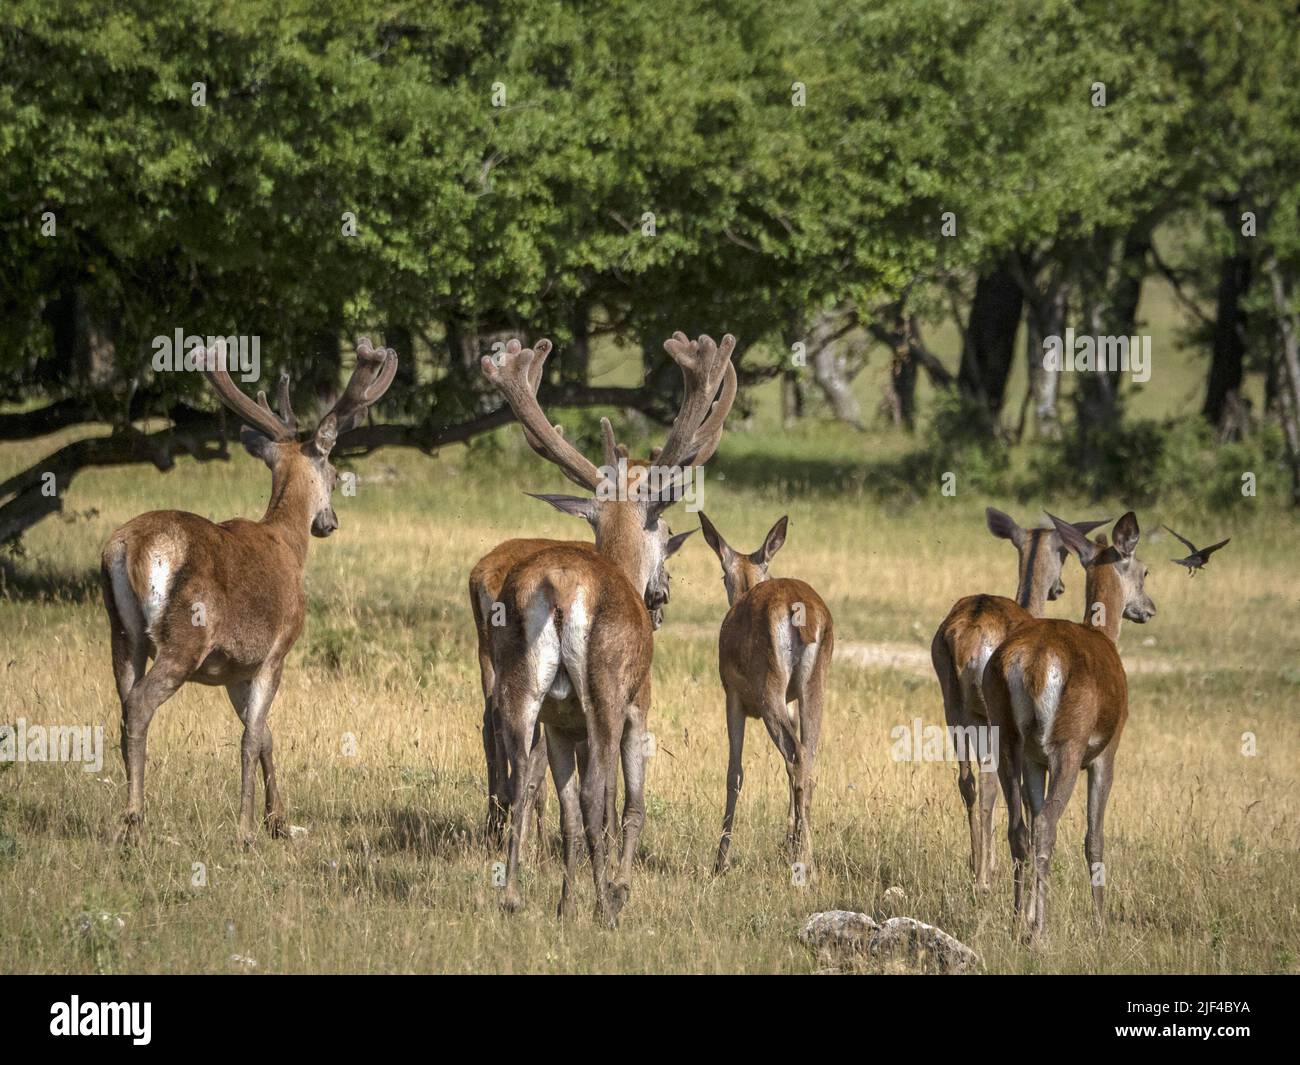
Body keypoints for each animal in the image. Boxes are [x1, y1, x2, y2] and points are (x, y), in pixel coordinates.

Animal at [100, 337, 397, 845]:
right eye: (335, 474)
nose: (329, 522)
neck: (288, 544)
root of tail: (130, 548)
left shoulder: (236, 668)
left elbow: (266, 735)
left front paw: (278, 819)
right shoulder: (277, 649)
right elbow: (252, 736)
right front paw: (246, 828)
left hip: (121, 632)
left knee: (122, 703)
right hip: (185, 635)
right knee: (139, 704)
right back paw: (134, 818)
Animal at [481, 331, 735, 924]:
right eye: (664, 531)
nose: (661, 592)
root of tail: (557, 587)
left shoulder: (562, 723)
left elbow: (567, 810)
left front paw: (564, 900)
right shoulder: (640, 702)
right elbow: (631, 803)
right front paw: (619, 886)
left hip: (523, 690)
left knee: (521, 781)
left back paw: (513, 895)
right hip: (605, 687)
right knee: (597, 792)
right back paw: (604, 906)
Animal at [697, 512, 833, 876]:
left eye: (722, 574)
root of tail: (801, 613)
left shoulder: (731, 694)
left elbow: (734, 772)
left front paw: (720, 861)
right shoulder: (790, 701)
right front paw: (788, 840)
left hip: (768, 686)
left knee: (796, 754)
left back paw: (804, 861)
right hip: (813, 685)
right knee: (807, 757)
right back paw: (805, 855)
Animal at [930, 507, 1108, 889]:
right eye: (1064, 551)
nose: (1058, 587)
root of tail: (965, 633)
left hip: (952, 705)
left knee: (966, 780)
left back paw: (978, 865)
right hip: (991, 715)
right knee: (987, 781)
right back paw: (984, 878)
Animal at [982, 512, 1156, 941]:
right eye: (1145, 570)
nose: (1149, 608)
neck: (1104, 635)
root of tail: (1028, 662)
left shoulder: (1035, 759)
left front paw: (1028, 915)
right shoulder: (1106, 751)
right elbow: (1094, 838)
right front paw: (1100, 928)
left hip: (1008, 737)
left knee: (1020, 828)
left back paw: (1017, 923)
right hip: (1068, 743)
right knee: (1045, 825)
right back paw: (1040, 936)